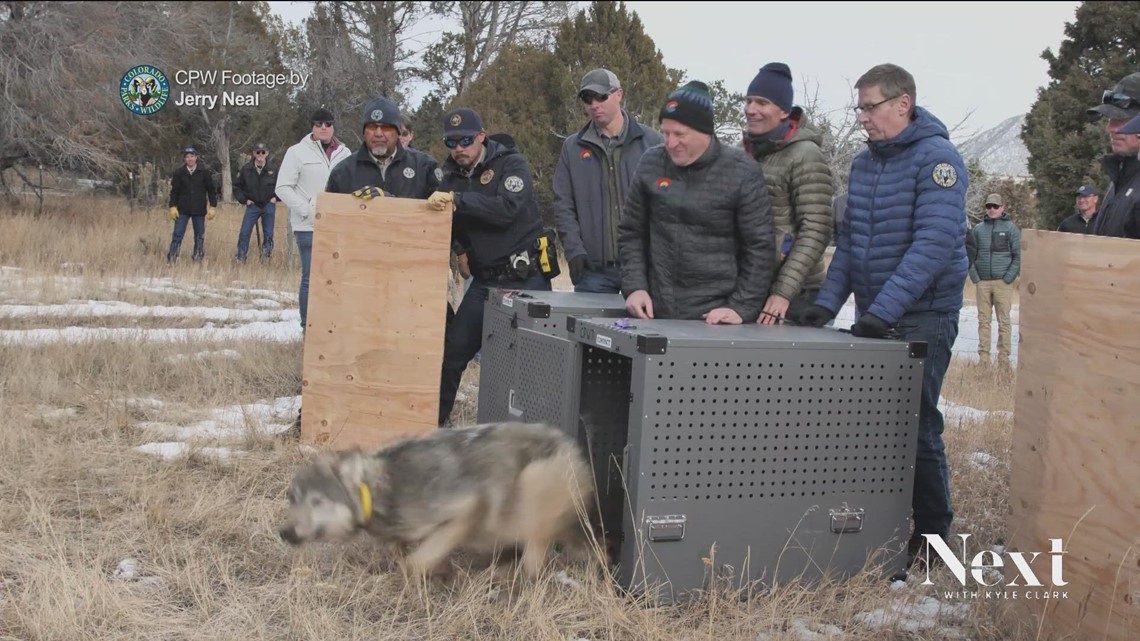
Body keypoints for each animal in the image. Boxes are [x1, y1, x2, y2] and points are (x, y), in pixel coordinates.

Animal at [278, 421, 597, 579]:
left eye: (317, 501)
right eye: (293, 500)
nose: (285, 532)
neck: (380, 489)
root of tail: (573, 448)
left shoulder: (467, 510)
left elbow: (415, 562)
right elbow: (407, 553)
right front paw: (441, 572)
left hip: (530, 487)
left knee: (538, 547)